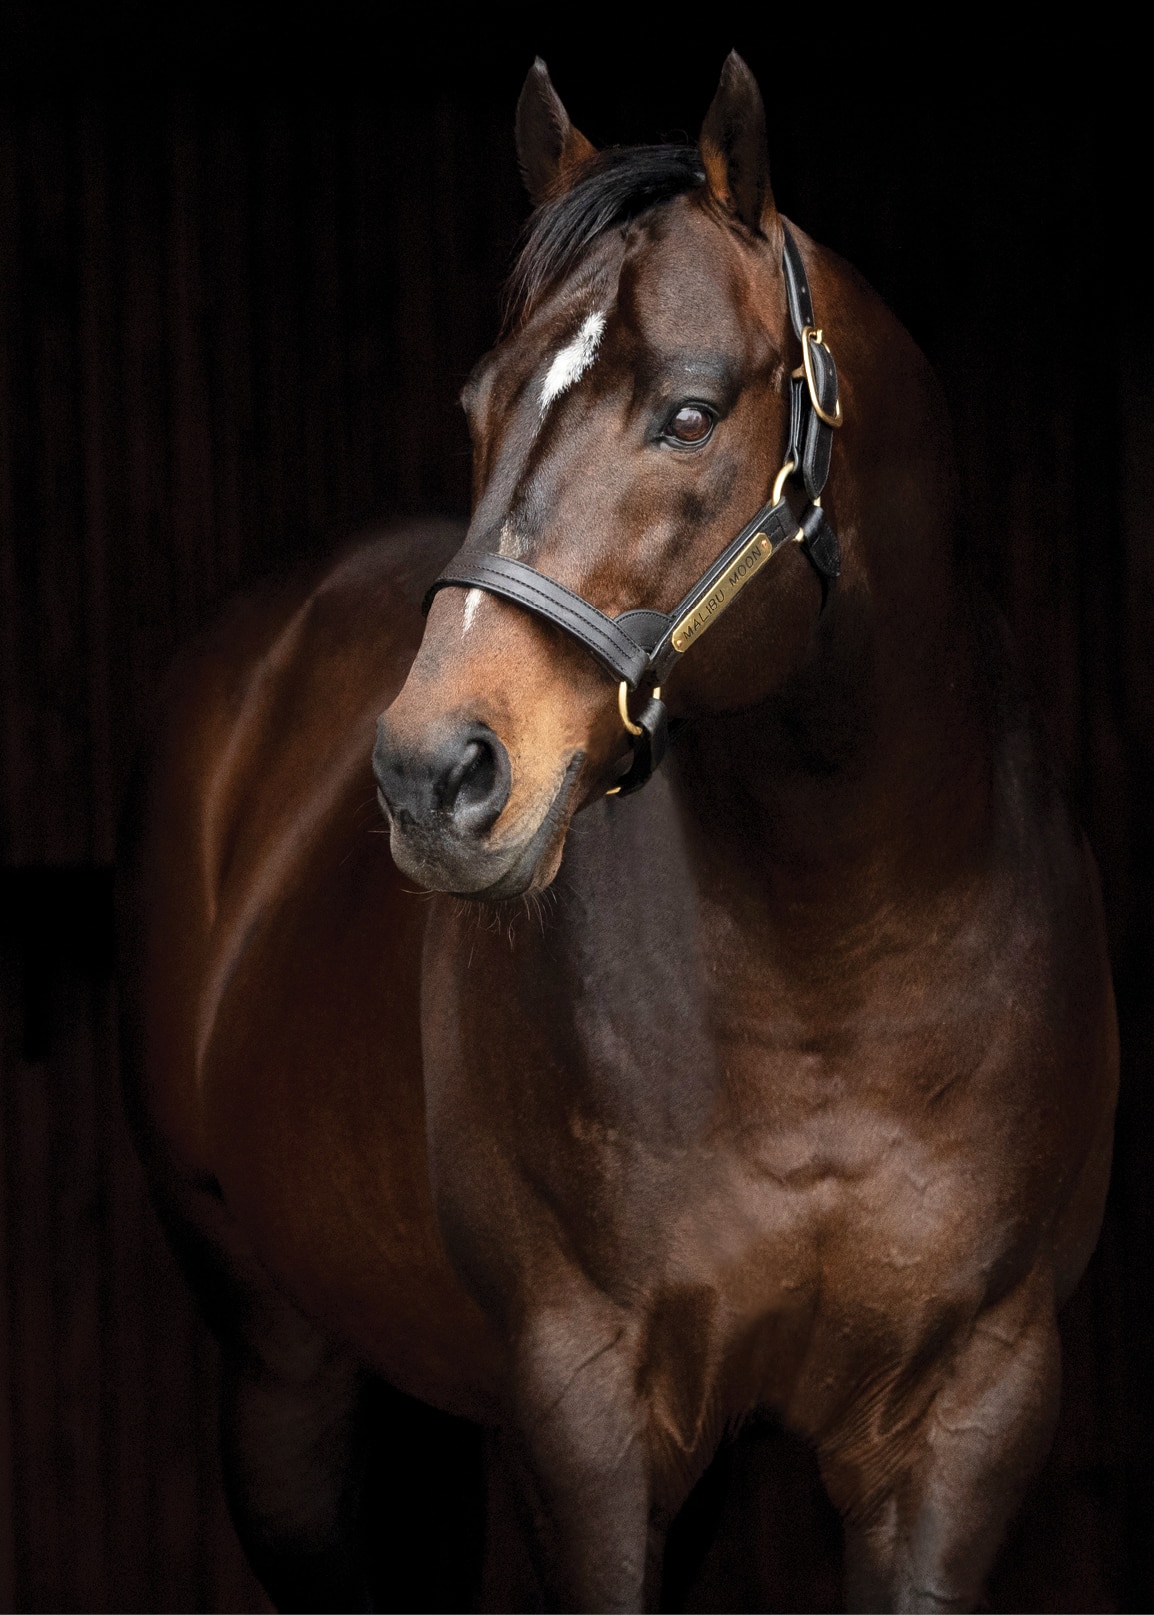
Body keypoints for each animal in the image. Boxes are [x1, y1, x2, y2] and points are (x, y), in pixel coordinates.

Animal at [120, 53, 1119, 1613]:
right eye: (480, 405)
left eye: (691, 413)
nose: (431, 772)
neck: (839, 954)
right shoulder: (583, 1412)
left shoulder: (966, 1419)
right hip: (284, 1379)